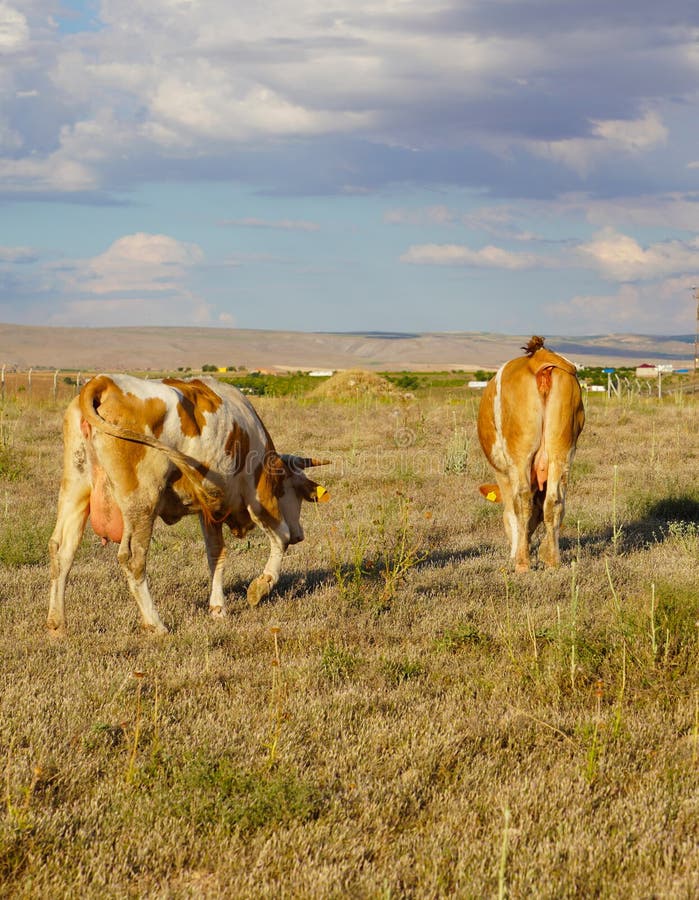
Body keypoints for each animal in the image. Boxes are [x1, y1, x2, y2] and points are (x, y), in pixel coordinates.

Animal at [48, 374, 329, 635]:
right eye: (297, 493)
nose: (301, 534)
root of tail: (104, 382)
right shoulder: (259, 495)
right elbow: (280, 538)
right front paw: (260, 587)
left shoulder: (210, 508)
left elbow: (216, 553)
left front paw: (218, 607)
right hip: (142, 501)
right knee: (133, 558)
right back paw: (155, 624)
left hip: (75, 488)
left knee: (62, 551)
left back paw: (57, 624)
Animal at [477, 336, 585, 572]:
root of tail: (539, 357)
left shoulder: (502, 473)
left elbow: (511, 513)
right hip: (561, 451)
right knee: (555, 502)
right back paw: (552, 560)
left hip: (520, 455)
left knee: (522, 502)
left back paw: (522, 563)